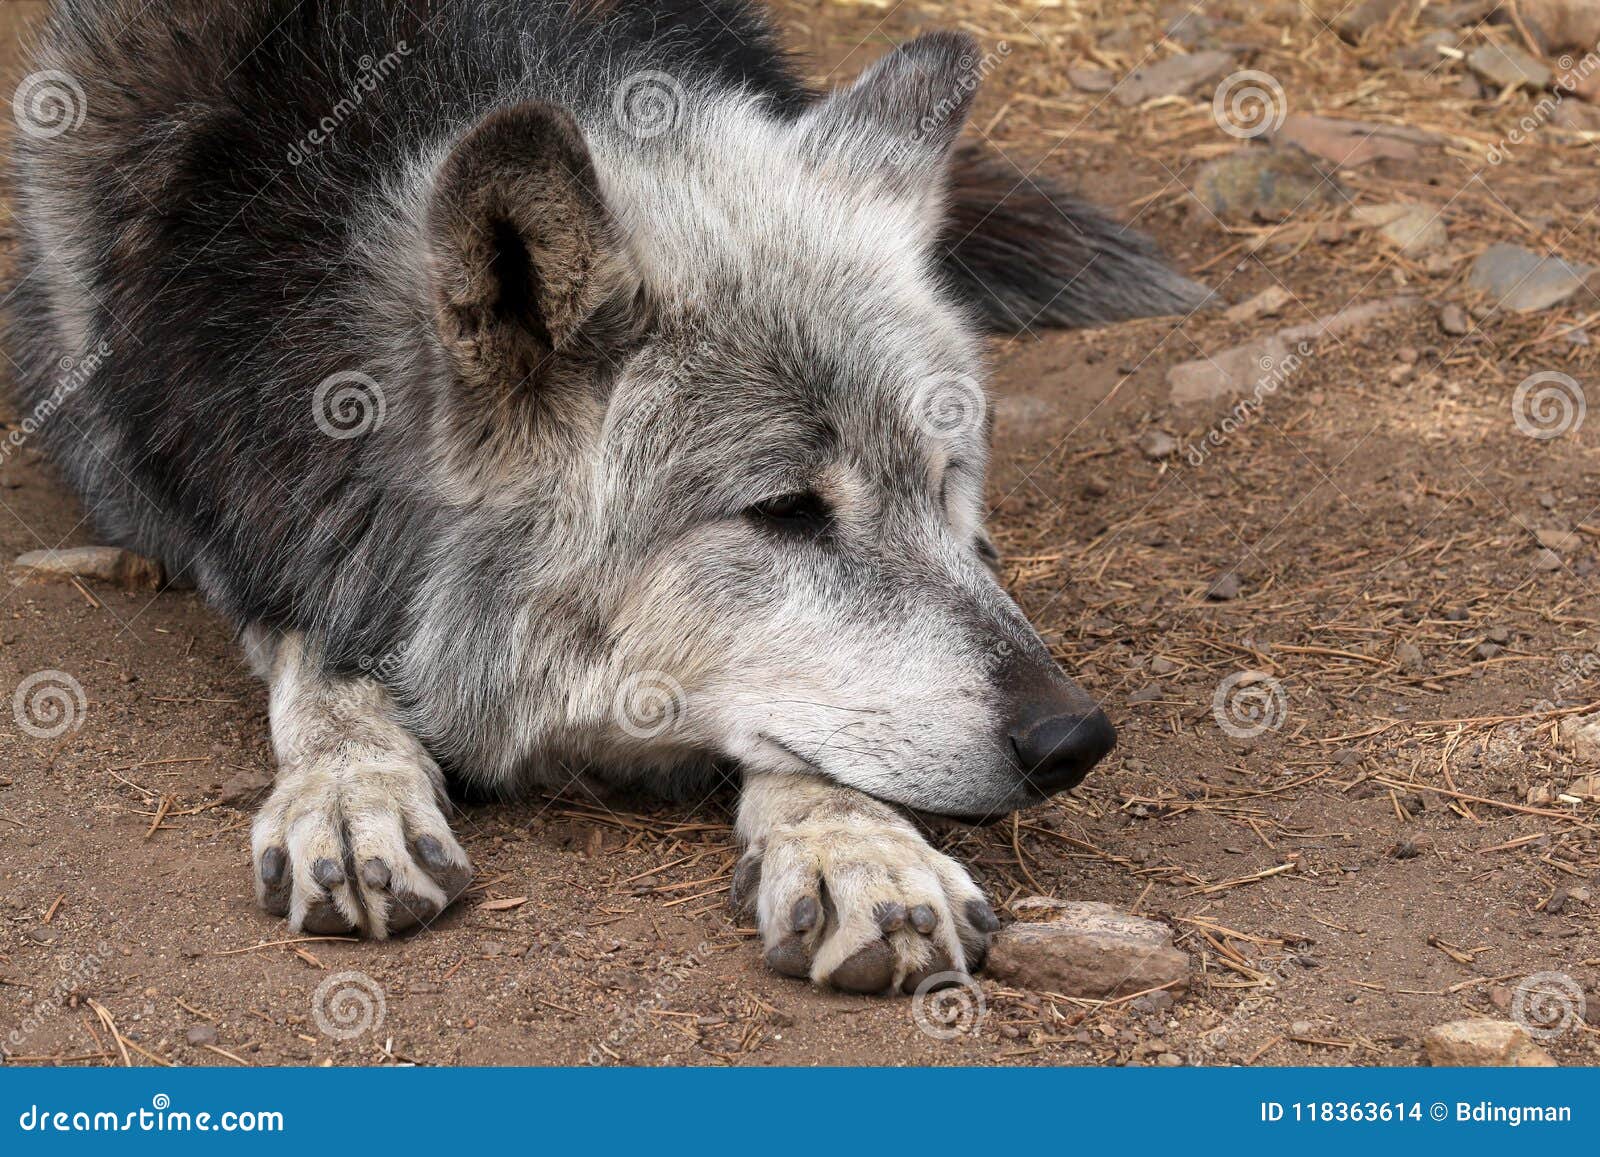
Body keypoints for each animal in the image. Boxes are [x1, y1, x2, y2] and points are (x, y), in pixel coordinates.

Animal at [6, 0, 1207, 994]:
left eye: (947, 483)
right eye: (784, 510)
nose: (1074, 735)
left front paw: (856, 843)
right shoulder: (236, 505)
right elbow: (321, 643)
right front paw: (349, 787)